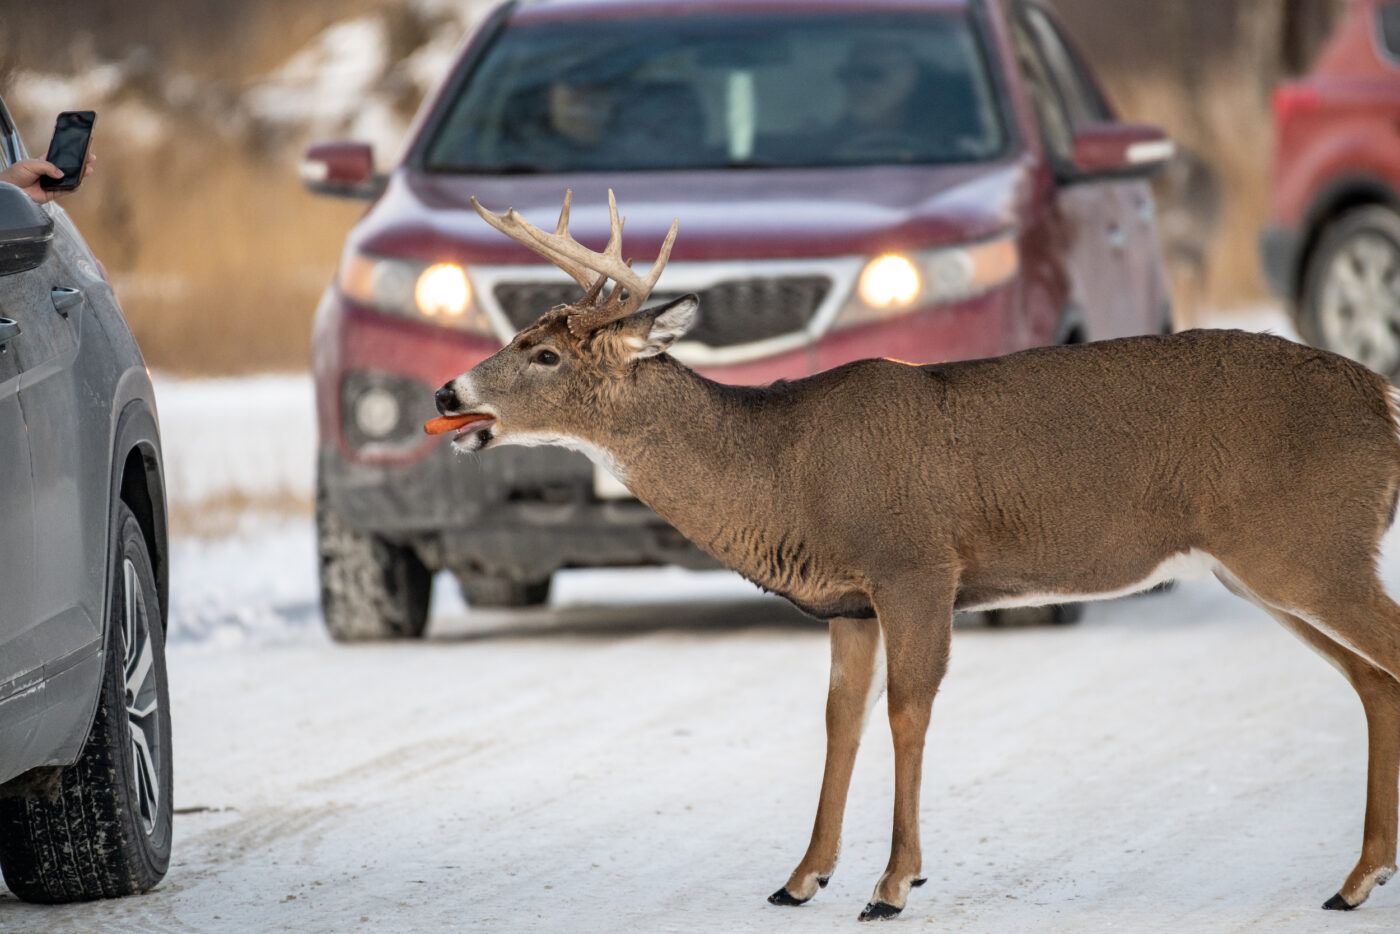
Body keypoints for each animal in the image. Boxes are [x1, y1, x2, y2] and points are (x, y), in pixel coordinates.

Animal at [432, 189, 1400, 921]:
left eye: (544, 352)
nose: (446, 392)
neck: (784, 471)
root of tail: (1382, 398)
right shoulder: (851, 603)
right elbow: (840, 721)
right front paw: (801, 878)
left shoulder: (917, 566)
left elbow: (907, 713)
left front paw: (893, 884)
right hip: (1270, 569)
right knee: (1373, 681)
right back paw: (1356, 879)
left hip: (1310, 547)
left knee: (1383, 661)